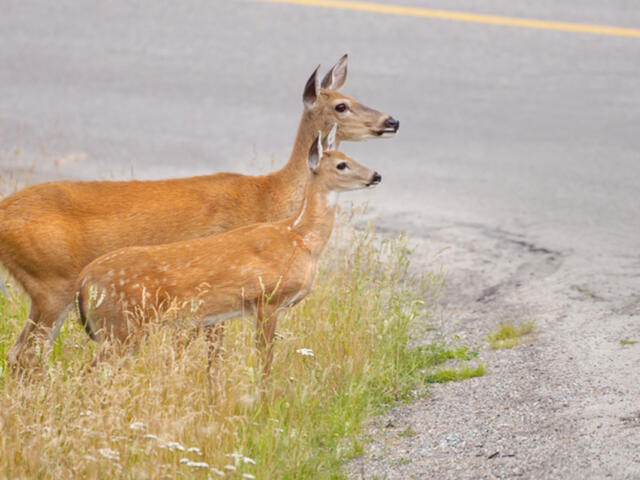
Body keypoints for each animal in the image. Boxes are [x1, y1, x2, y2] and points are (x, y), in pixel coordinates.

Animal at [75, 126, 381, 374]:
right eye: (342, 165)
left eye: (350, 156)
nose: (376, 174)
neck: (300, 239)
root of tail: (85, 279)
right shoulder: (267, 298)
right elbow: (264, 363)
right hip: (123, 326)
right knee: (90, 373)